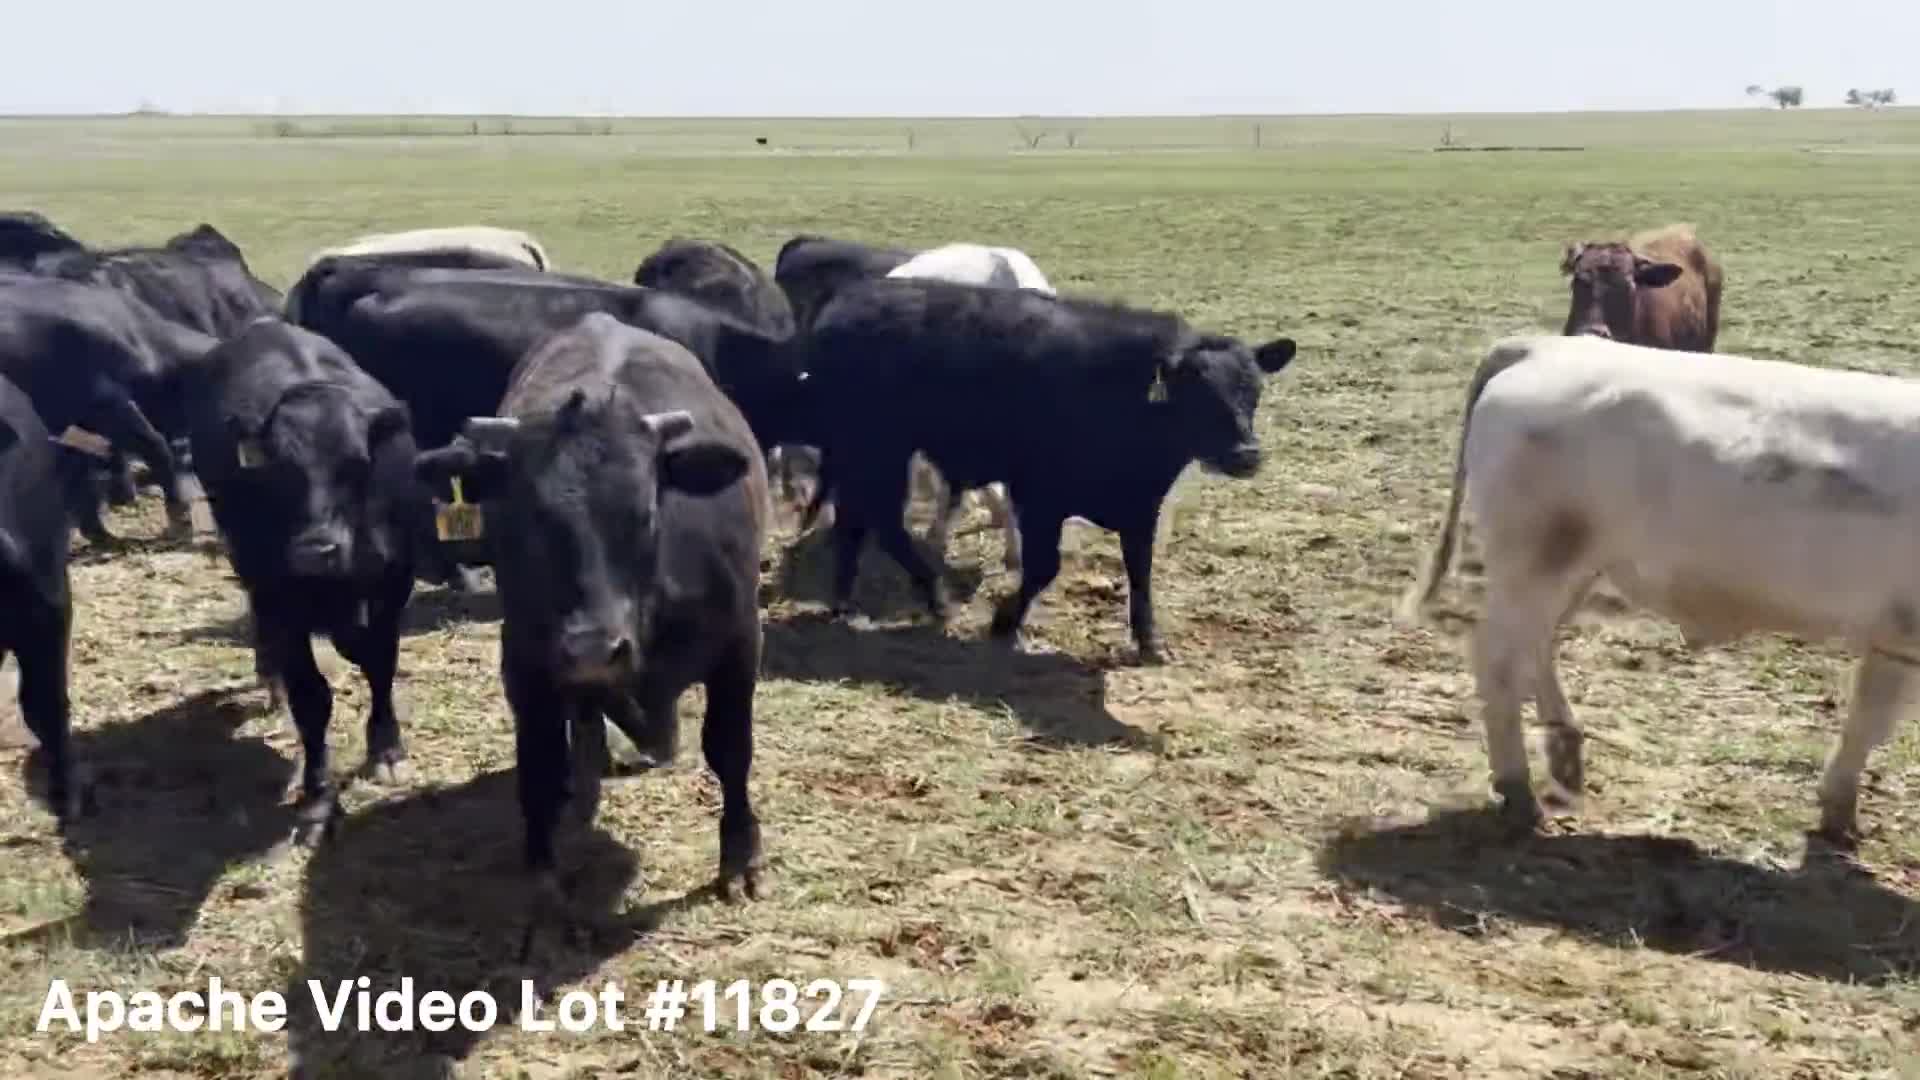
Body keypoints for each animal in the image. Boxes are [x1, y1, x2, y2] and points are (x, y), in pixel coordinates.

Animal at [0, 277, 215, 541]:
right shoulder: (106, 402)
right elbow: (155, 446)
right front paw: (180, 523)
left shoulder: (69, 423)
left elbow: (81, 472)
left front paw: (104, 536)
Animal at [185, 318, 427, 843]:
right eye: (277, 470)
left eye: (357, 464)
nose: (315, 550)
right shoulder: (282, 602)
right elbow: (311, 698)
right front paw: (317, 796)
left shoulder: (393, 588)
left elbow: (380, 664)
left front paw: (387, 751)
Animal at [413, 312, 766, 941]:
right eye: (523, 522)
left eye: (646, 513)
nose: (593, 650)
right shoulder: (527, 664)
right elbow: (539, 766)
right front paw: (544, 883)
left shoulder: (740, 644)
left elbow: (729, 748)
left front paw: (739, 858)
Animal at [801, 277, 1297, 663]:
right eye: (1198, 395)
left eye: (1253, 390)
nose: (1246, 453)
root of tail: (848, 303)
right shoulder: (1039, 494)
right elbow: (1044, 566)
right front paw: (1004, 623)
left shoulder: (1141, 505)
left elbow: (1140, 570)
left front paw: (1150, 642)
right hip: (876, 447)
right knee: (878, 519)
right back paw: (930, 599)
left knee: (856, 521)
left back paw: (849, 603)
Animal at [1398, 332, 1920, 848]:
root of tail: (1545, 345)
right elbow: (1871, 720)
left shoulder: (1894, 634)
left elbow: (1868, 718)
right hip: (1534, 559)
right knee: (1500, 659)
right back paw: (1519, 792)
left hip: (1568, 568)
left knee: (1536, 648)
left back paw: (1566, 757)